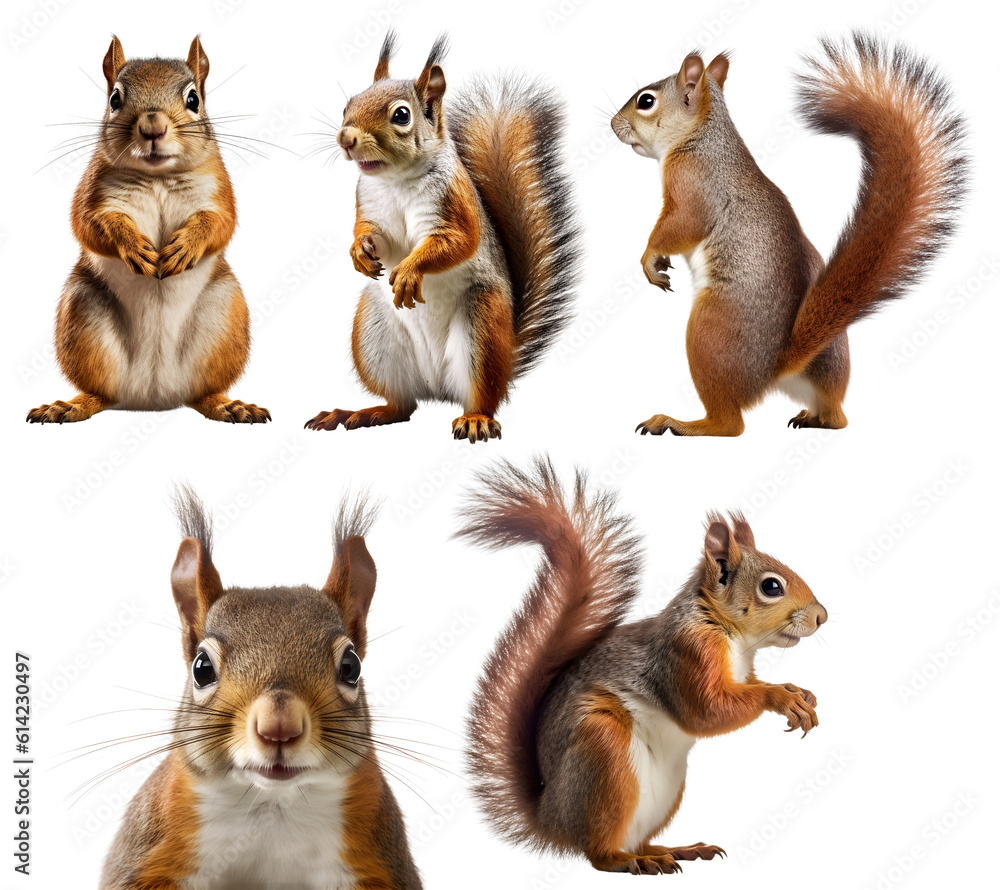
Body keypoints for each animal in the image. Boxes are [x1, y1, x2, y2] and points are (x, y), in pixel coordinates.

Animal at [28, 36, 269, 425]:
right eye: (115, 99)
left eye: (193, 99)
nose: (153, 129)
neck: (158, 176)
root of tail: (153, 395)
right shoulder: (92, 192)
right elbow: (88, 223)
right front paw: (133, 246)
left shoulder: (218, 191)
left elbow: (220, 223)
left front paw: (187, 246)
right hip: (83, 318)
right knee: (100, 392)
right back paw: (72, 405)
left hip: (224, 320)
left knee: (204, 393)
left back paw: (227, 405)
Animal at [305, 33, 577, 443]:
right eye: (346, 106)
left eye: (401, 115)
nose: (345, 138)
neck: (396, 181)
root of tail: (438, 386)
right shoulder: (370, 208)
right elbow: (371, 234)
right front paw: (359, 252)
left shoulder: (454, 203)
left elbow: (457, 242)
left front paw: (408, 272)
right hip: (373, 336)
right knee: (402, 406)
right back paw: (363, 412)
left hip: (483, 327)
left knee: (482, 397)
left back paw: (475, 419)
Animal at [461, 457, 827, 875]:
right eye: (771, 587)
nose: (822, 616)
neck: (732, 636)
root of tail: (550, 818)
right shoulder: (685, 654)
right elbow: (706, 711)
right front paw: (779, 697)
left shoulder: (738, 671)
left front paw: (798, 691)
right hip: (604, 753)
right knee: (598, 852)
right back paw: (632, 861)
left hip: (667, 789)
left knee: (638, 838)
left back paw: (676, 850)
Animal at [610, 32, 967, 436]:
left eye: (646, 101)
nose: (613, 123)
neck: (701, 137)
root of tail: (776, 367)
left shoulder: (693, 184)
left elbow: (681, 225)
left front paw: (649, 258)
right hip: (829, 366)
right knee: (837, 418)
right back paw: (814, 418)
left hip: (708, 333)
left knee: (731, 425)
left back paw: (681, 423)